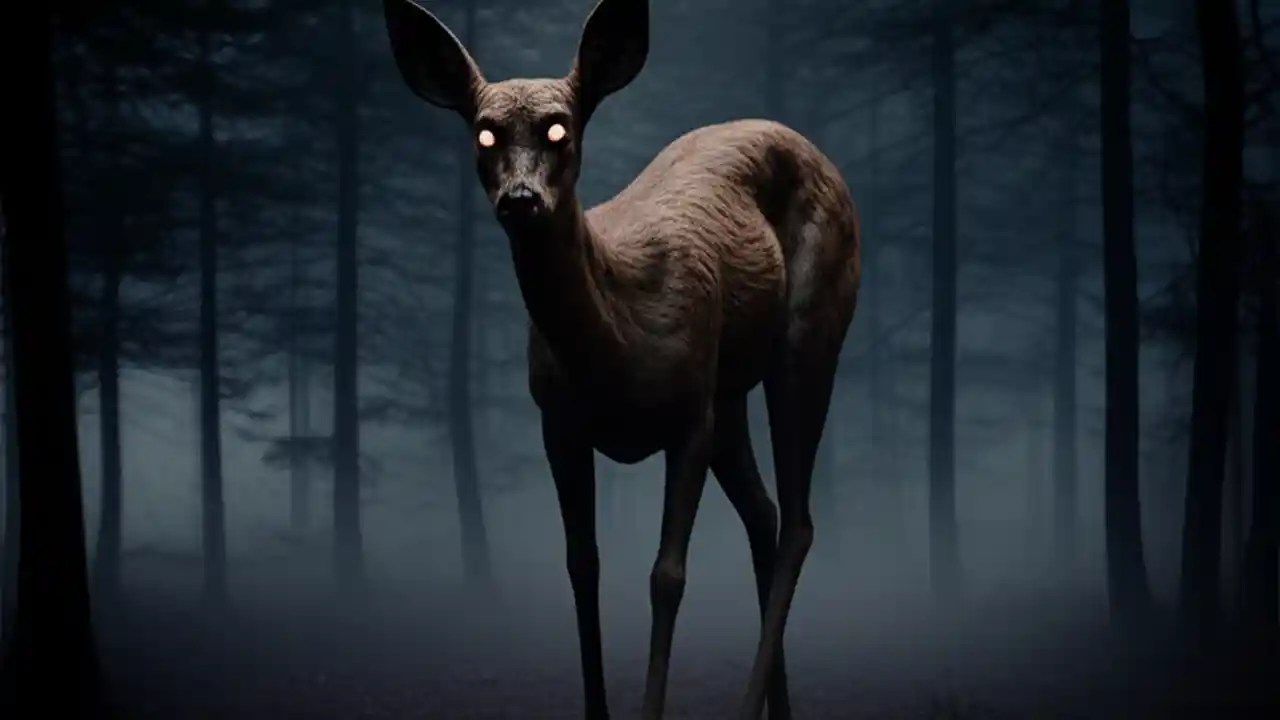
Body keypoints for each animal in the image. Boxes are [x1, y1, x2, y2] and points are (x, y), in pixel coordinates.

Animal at [383, 0, 860, 717]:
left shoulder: (688, 416)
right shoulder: (558, 422)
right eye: (485, 136)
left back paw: (749, 705)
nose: (521, 199)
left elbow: (667, 575)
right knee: (766, 513)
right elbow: (583, 564)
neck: (618, 340)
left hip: (812, 330)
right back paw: (775, 709)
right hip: (729, 392)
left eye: (560, 129)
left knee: (798, 523)